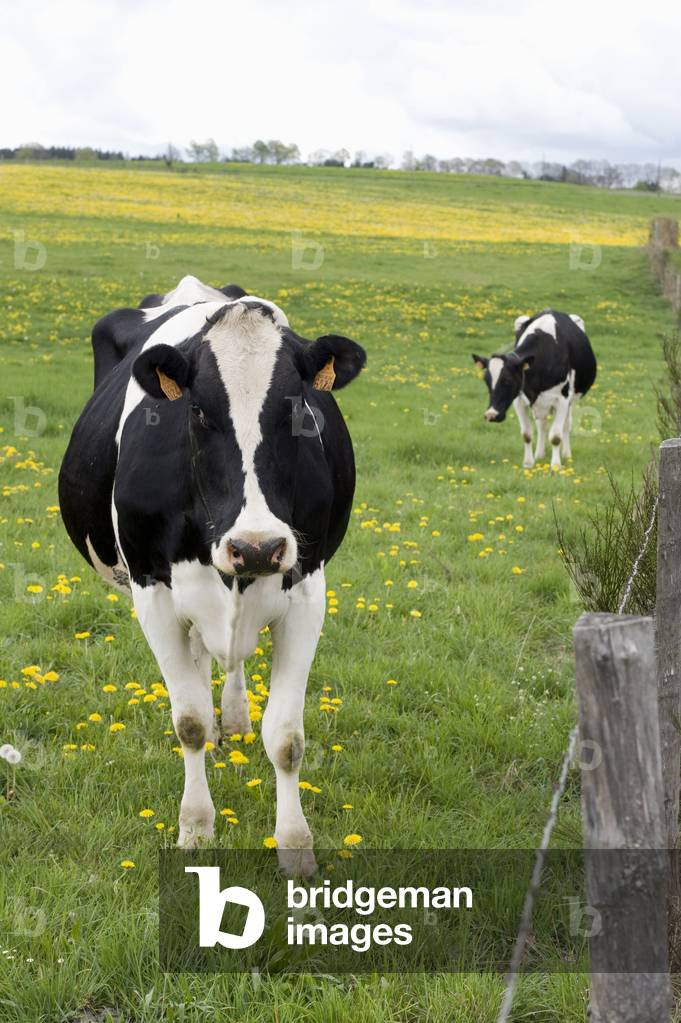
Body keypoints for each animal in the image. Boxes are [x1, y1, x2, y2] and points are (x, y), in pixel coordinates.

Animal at [58, 275, 366, 872]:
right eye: (199, 411)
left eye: (299, 408)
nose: (257, 547)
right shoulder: (153, 594)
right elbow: (191, 723)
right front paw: (196, 828)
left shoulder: (307, 589)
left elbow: (287, 738)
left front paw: (295, 847)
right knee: (200, 666)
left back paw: (238, 720)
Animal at [472, 309, 597, 470]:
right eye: (486, 381)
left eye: (508, 381)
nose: (491, 415)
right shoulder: (519, 401)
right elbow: (527, 434)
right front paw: (528, 463)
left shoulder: (562, 399)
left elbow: (556, 436)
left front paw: (555, 465)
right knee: (542, 425)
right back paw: (539, 454)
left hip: (573, 398)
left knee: (567, 424)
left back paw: (566, 454)